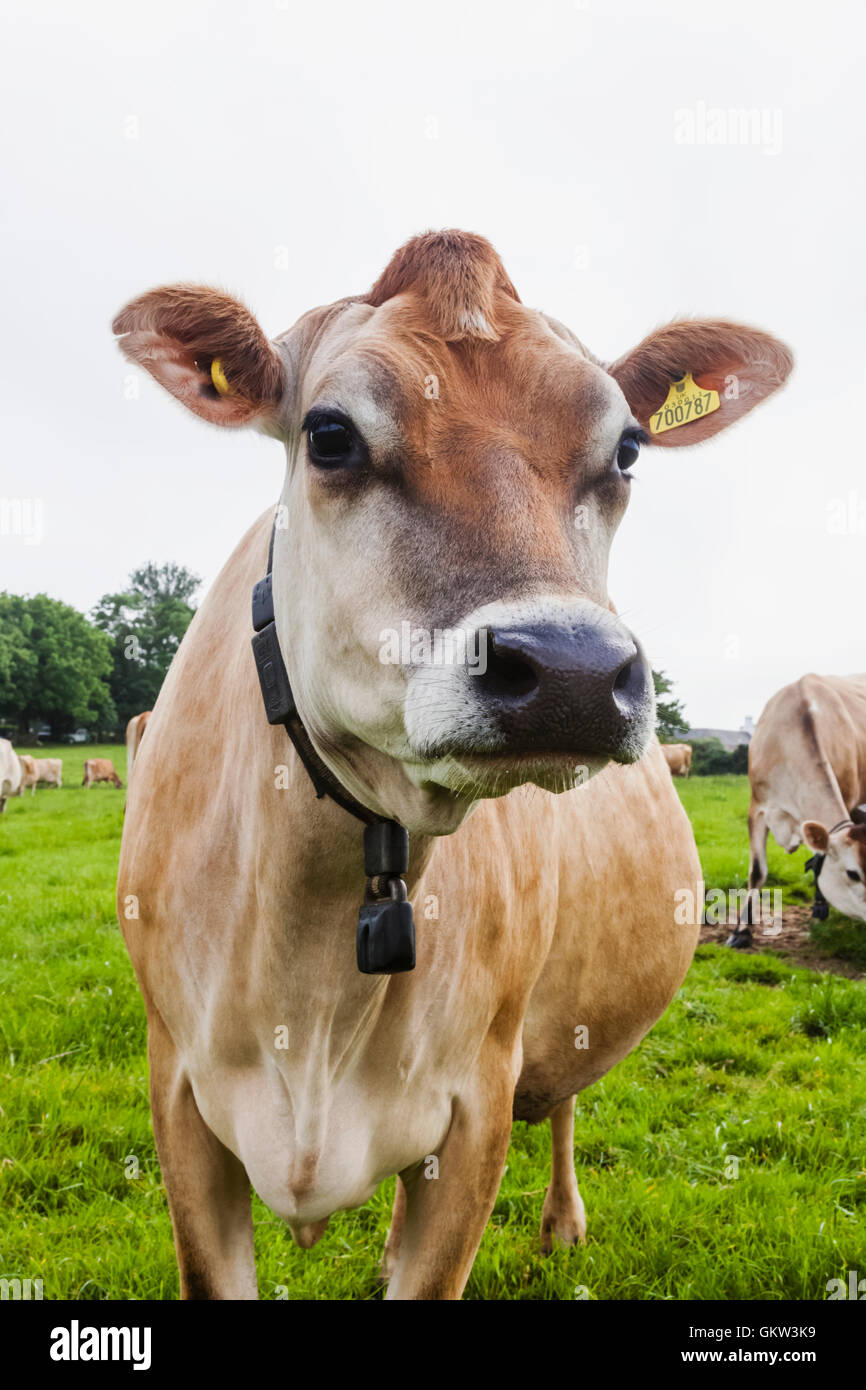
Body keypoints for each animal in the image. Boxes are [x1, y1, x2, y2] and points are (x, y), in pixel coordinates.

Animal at [113, 229, 792, 1299]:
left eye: (626, 448)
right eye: (330, 434)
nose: (570, 671)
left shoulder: (478, 1100)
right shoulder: (177, 1095)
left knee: (563, 1098)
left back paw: (562, 1222)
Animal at [728, 673, 866, 947]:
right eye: (853, 874)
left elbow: (817, 859)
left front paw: (820, 910)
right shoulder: (757, 809)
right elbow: (757, 871)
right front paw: (741, 932)